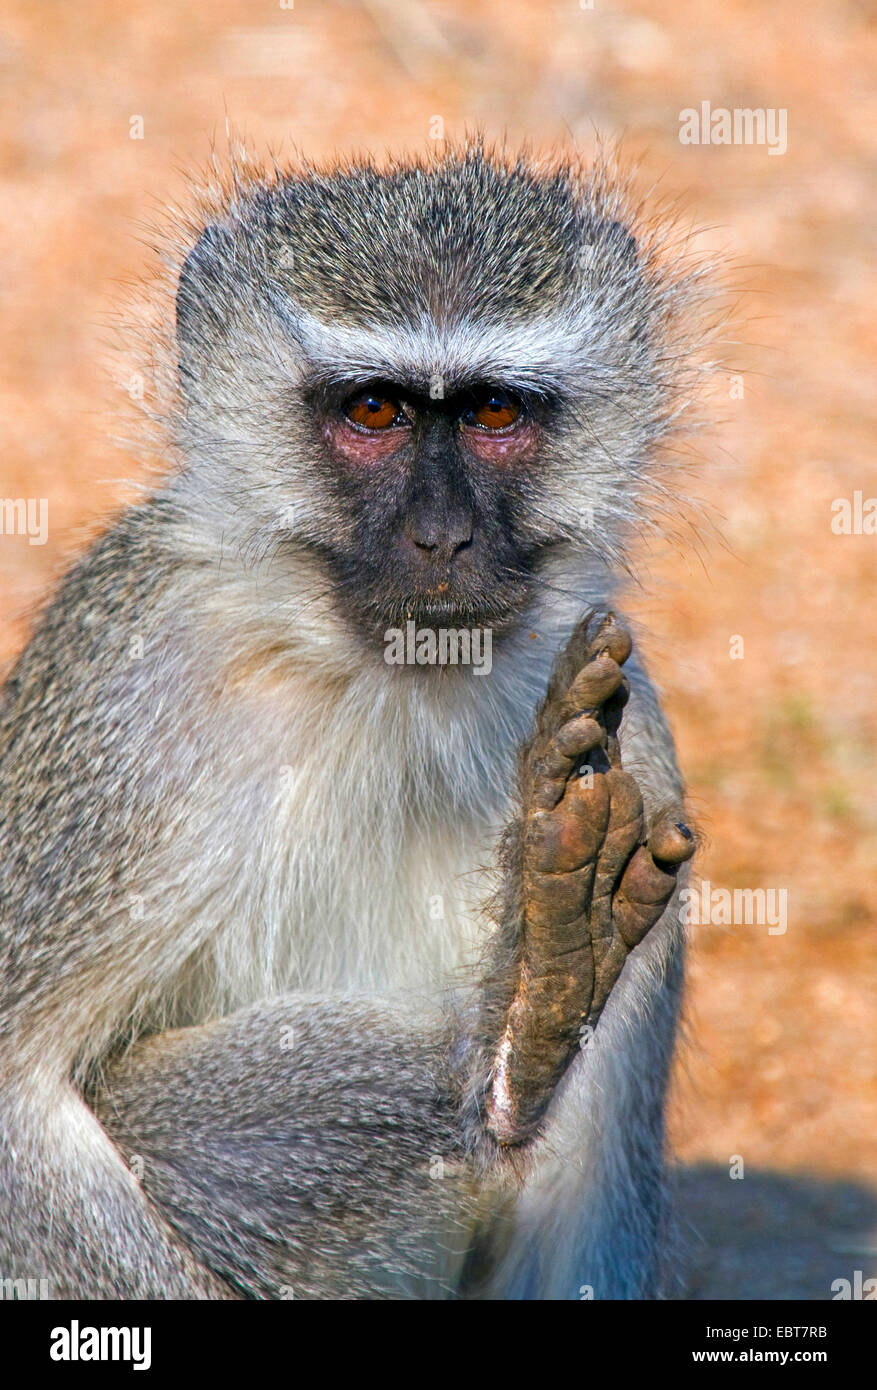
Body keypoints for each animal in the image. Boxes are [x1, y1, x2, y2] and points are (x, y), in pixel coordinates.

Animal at [0, 142, 706, 1300]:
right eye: (374, 411)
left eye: (495, 414)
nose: (441, 538)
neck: (390, 690)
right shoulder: (129, 715)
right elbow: (15, 1101)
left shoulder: (638, 738)